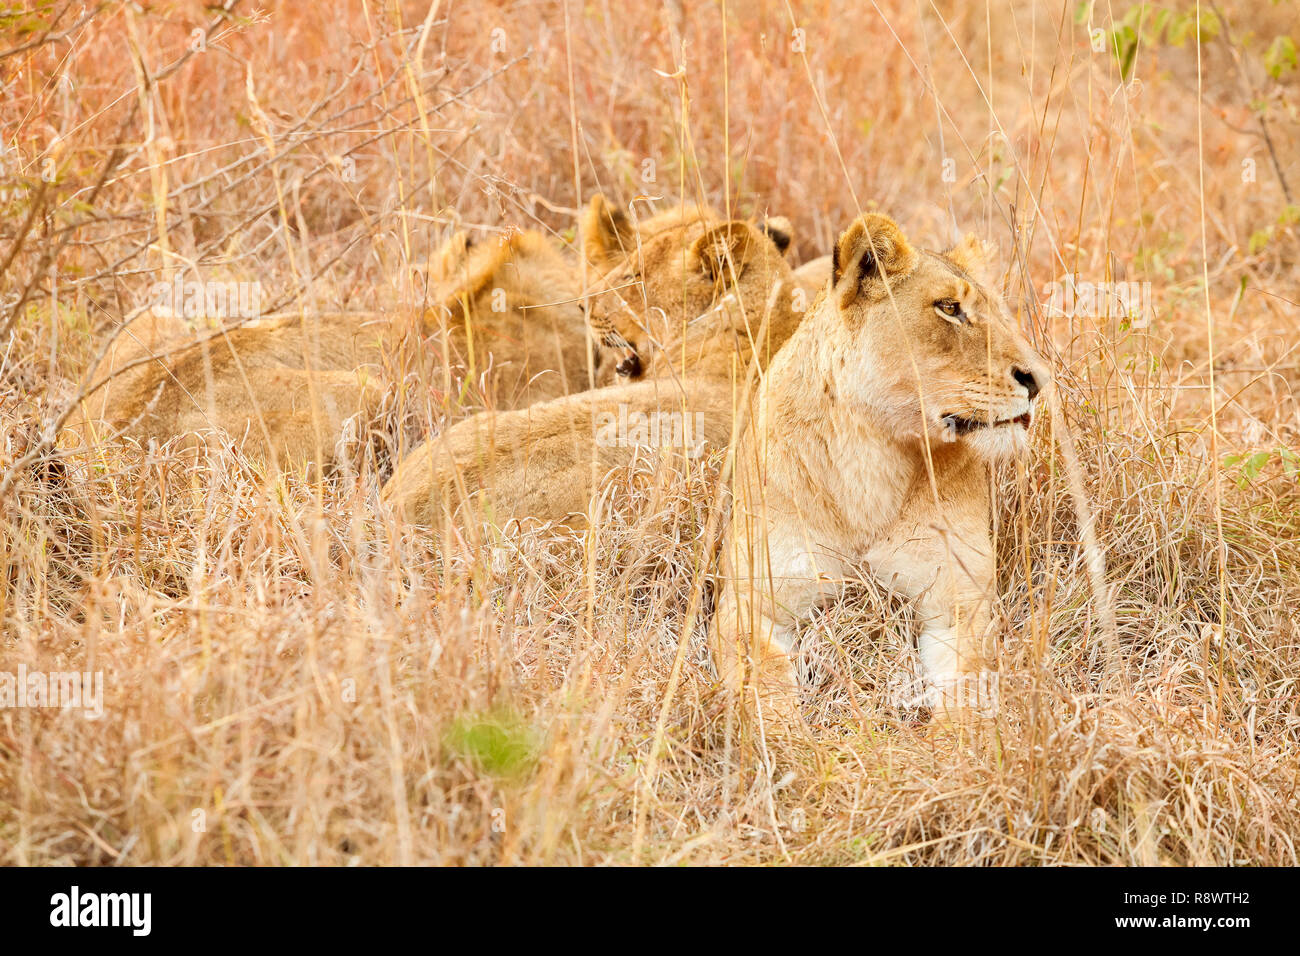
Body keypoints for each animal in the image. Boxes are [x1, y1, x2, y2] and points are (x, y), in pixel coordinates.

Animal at [715, 213, 1050, 725]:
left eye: (1001, 312)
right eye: (949, 308)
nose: (1038, 379)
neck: (872, 455)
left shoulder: (961, 604)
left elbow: (968, 690)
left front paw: (953, 742)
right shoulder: (751, 599)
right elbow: (764, 684)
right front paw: (785, 738)